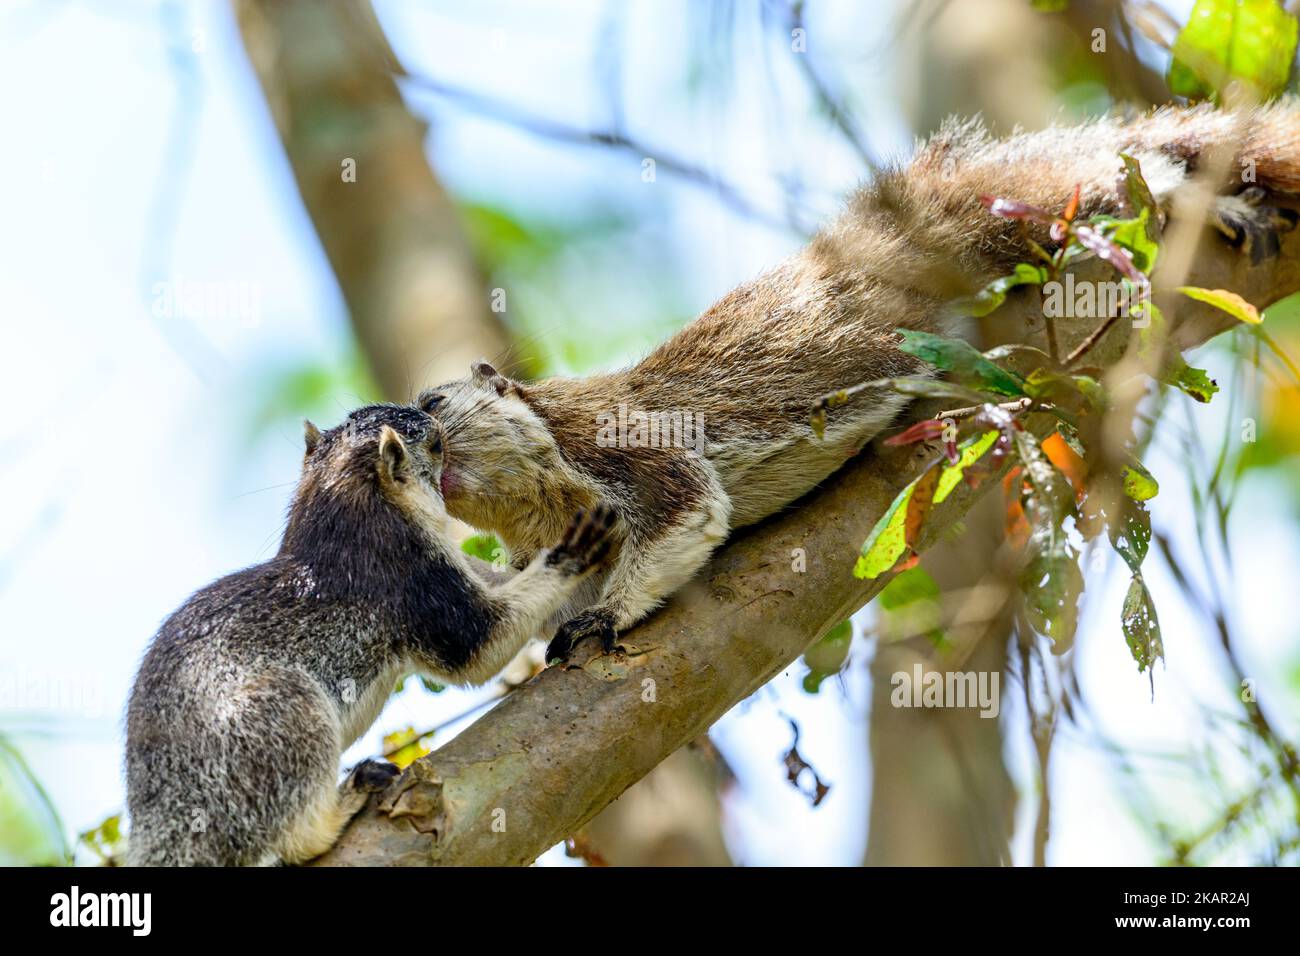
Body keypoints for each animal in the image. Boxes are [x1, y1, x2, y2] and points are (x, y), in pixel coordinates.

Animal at [125, 403, 614, 866]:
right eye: (435, 445)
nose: (437, 418)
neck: (342, 512)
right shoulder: (414, 584)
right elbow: (481, 643)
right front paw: (575, 548)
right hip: (279, 716)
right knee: (298, 837)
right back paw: (351, 795)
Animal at [418, 102, 1300, 663]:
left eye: (427, 404)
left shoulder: (622, 447)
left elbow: (686, 512)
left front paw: (603, 618)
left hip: (998, 214)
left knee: (1117, 171)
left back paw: (1203, 197)